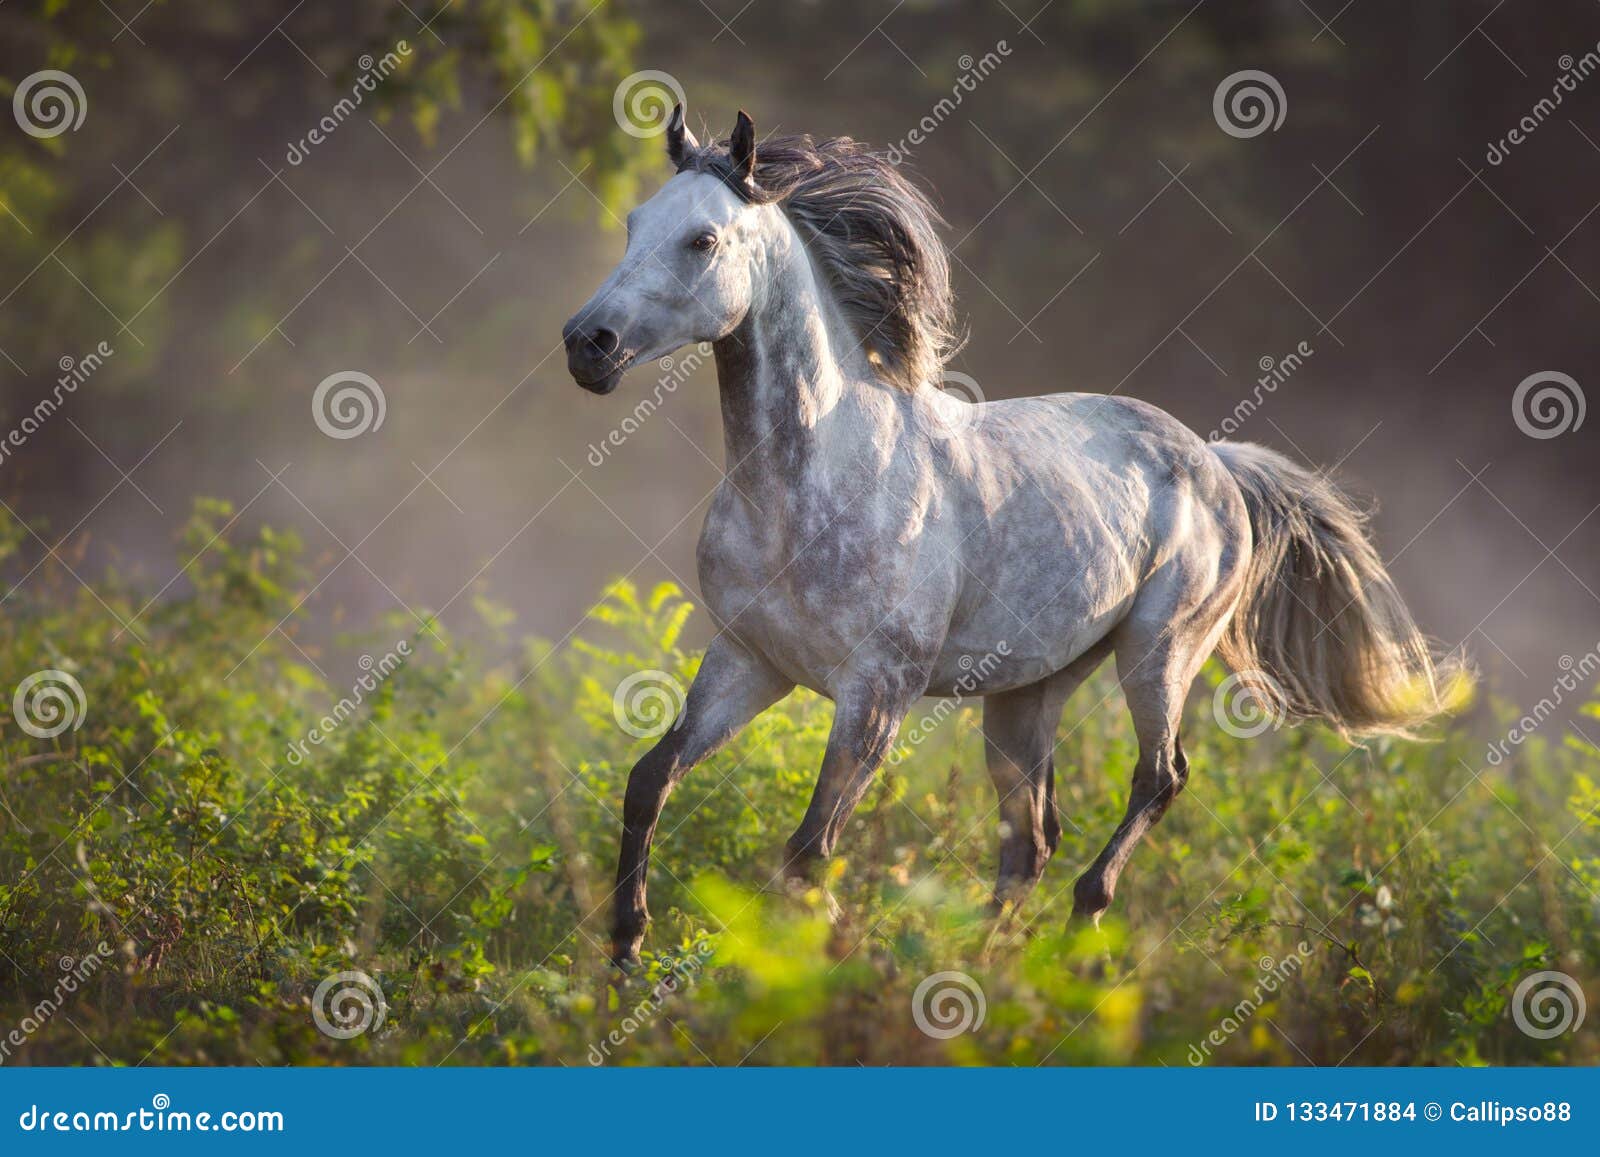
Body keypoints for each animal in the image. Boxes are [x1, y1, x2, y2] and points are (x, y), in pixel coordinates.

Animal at [562, 104, 1469, 967]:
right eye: (635, 222)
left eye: (703, 239)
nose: (587, 345)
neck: (811, 485)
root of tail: (1215, 459)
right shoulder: (751, 661)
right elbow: (650, 779)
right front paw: (626, 951)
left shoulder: (876, 695)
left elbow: (809, 853)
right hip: (1027, 694)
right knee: (1031, 840)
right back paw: (990, 969)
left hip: (1160, 652)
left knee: (1159, 779)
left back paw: (1080, 927)